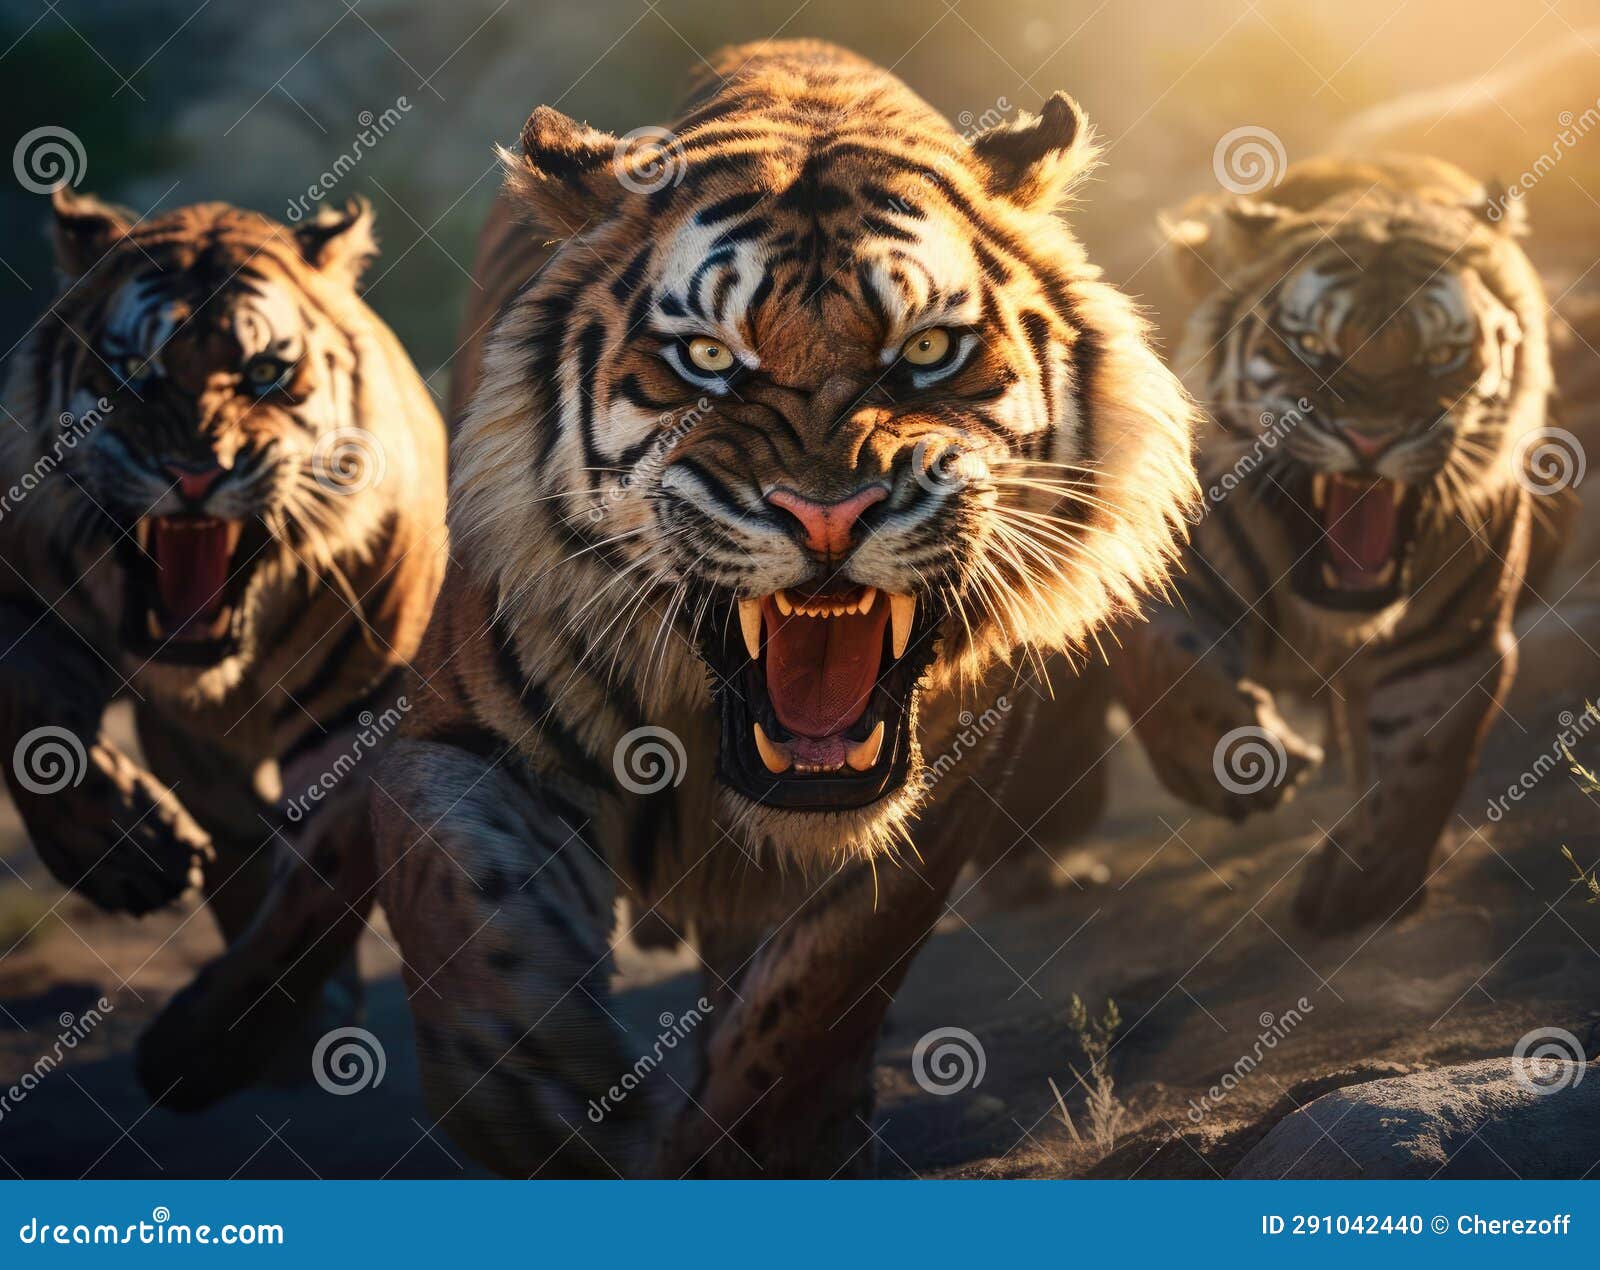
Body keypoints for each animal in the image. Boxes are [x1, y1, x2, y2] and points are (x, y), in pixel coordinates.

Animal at [0, 189, 448, 1106]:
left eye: (266, 373)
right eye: (135, 372)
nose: (197, 473)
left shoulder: (371, 707)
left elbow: (322, 883)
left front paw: (202, 1054)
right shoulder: (21, 594)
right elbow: (26, 703)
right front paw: (122, 855)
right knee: (238, 839)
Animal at [371, 39, 1196, 1178]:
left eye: (926, 352)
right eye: (708, 359)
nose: (829, 512)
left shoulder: (935, 795)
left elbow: (815, 991)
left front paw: (752, 1140)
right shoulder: (451, 736)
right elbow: (462, 899)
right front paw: (539, 1107)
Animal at [1114, 154, 1567, 935]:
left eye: (1445, 355)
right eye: (1316, 349)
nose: (1372, 438)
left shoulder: (1448, 645)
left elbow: (1419, 762)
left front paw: (1362, 889)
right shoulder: (1166, 583)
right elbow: (1169, 671)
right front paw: (1237, 771)